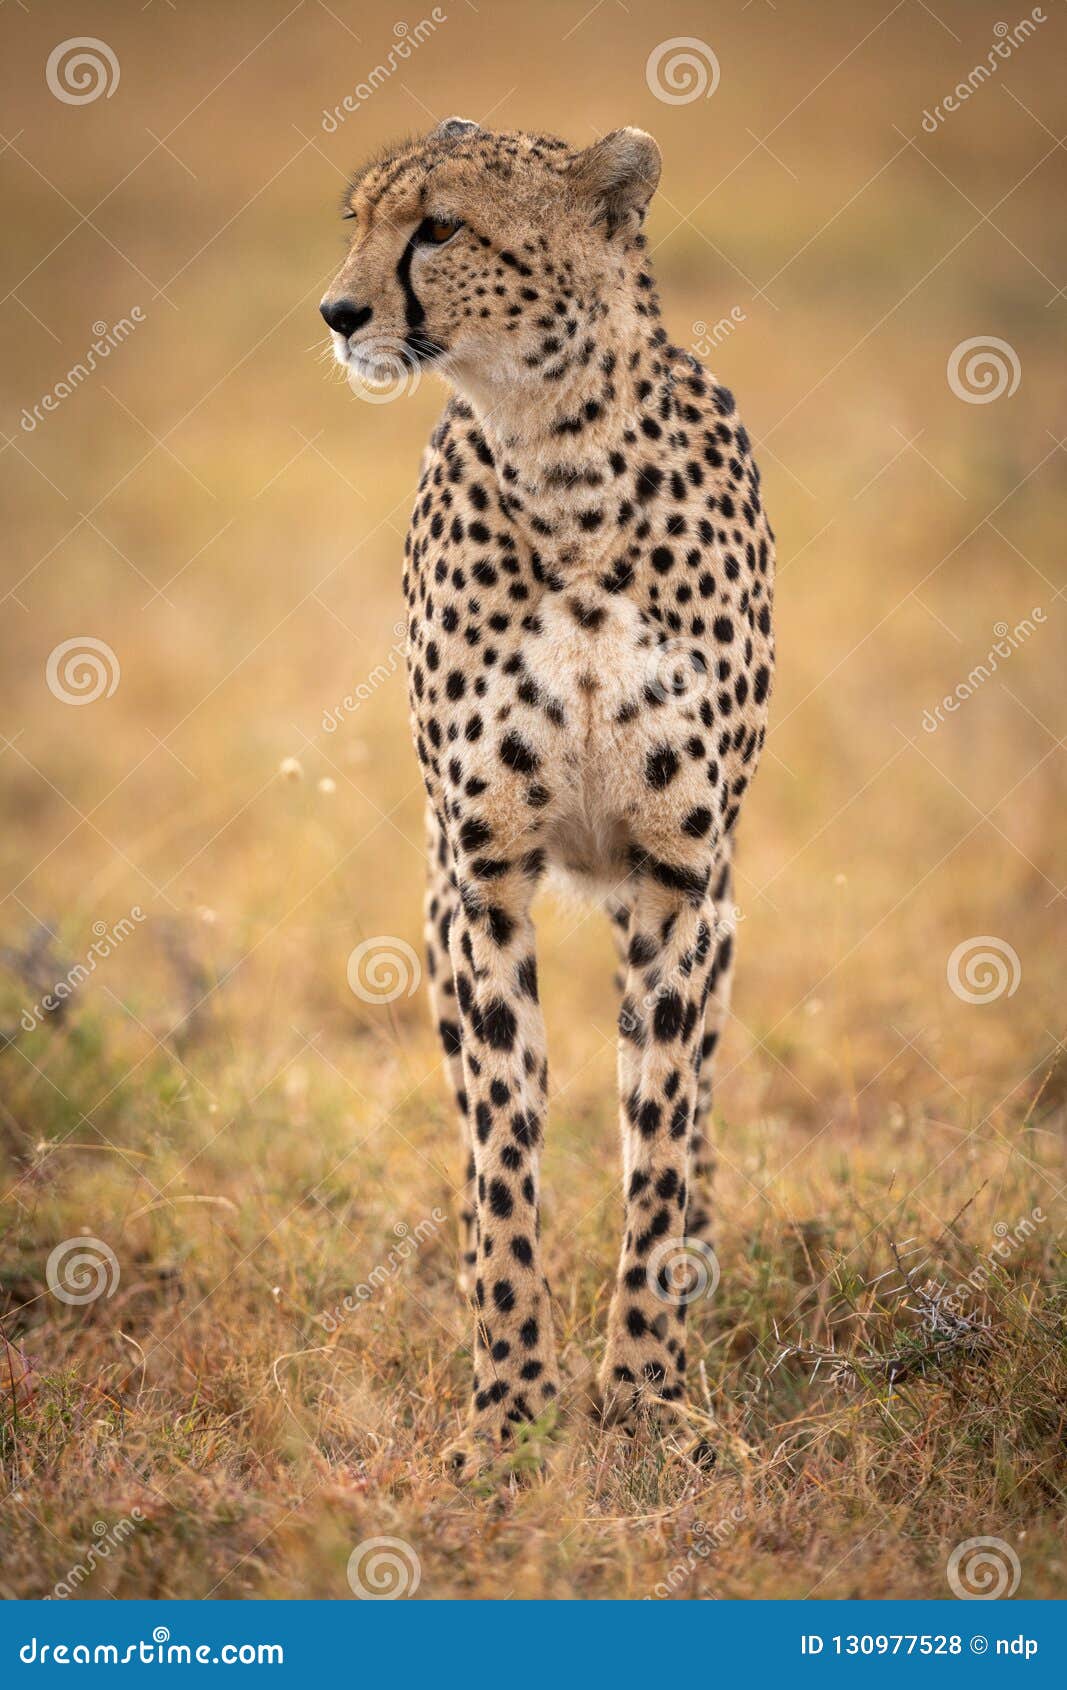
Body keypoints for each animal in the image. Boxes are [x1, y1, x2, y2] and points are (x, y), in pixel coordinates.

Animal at [319, 117, 775, 1462]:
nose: (337, 311)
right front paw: (511, 1410)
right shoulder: (476, 884)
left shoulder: (681, 882)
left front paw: (645, 1401)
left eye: (439, 226)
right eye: (360, 220)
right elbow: (501, 1154)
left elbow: (659, 1141)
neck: (560, 465)